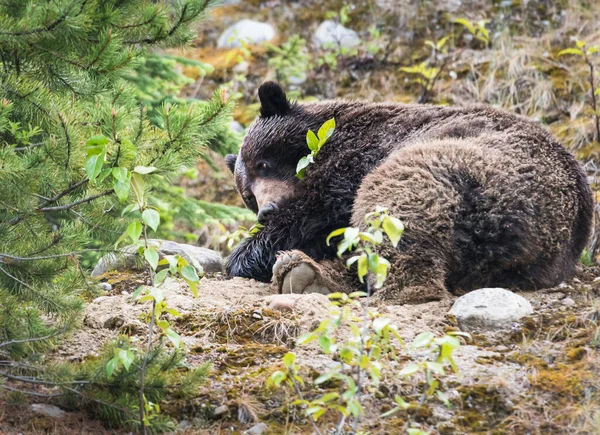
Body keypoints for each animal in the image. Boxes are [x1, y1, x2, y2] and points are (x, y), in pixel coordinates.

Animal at [225, 83, 596, 304]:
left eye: (263, 163)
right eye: (248, 196)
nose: (267, 209)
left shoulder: (360, 154)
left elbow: (320, 210)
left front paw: (244, 255)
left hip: (473, 166)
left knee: (394, 208)